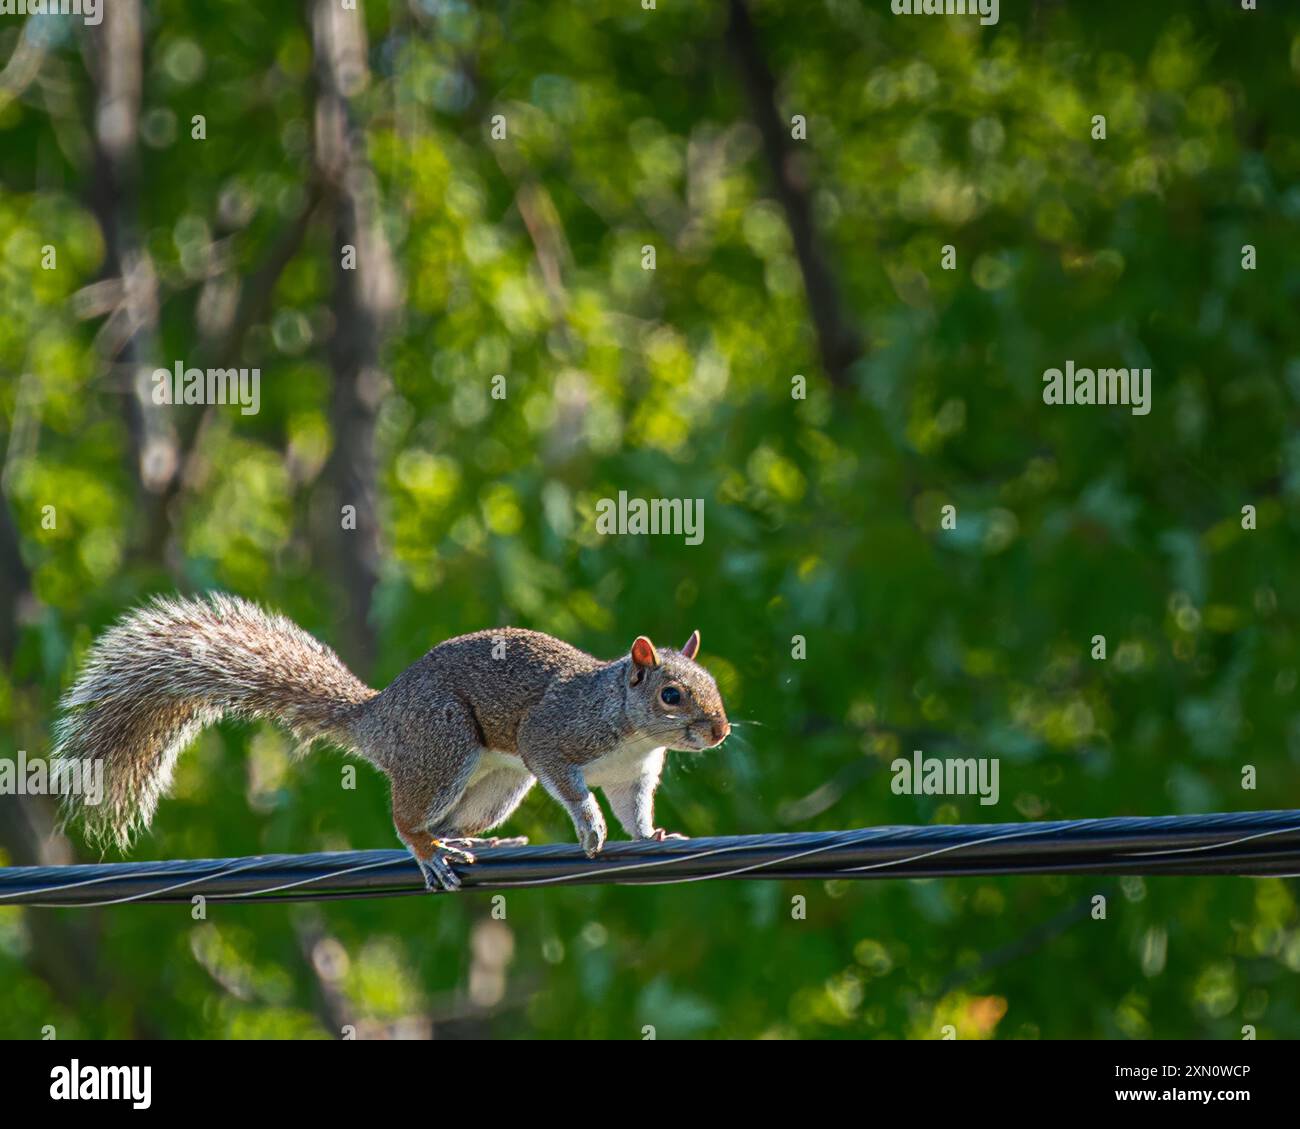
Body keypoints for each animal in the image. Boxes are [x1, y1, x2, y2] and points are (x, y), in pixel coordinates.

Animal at [51, 593, 731, 891]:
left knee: (448, 817)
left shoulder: (633, 775)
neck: (629, 727)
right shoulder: (554, 735)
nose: (720, 730)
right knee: (407, 818)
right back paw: (428, 850)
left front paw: (653, 836)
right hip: (445, 745)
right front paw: (590, 830)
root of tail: (380, 715)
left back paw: (463, 840)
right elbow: (570, 782)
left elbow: (635, 810)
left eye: (715, 685)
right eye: (671, 695)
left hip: (497, 784)